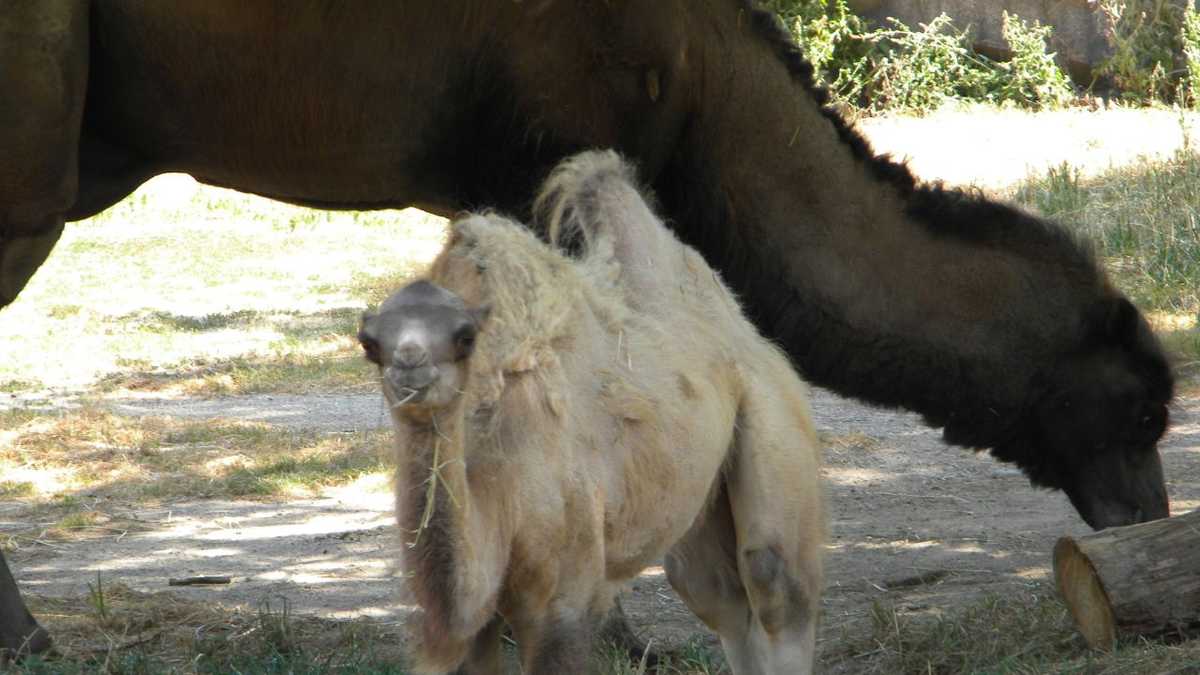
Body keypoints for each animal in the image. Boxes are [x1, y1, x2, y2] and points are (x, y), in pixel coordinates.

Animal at [358, 151, 824, 674]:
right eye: (369, 343)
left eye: (464, 338)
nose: (410, 365)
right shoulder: (474, 619)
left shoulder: (566, 598)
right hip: (695, 484)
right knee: (716, 594)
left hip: (774, 418)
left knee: (772, 580)